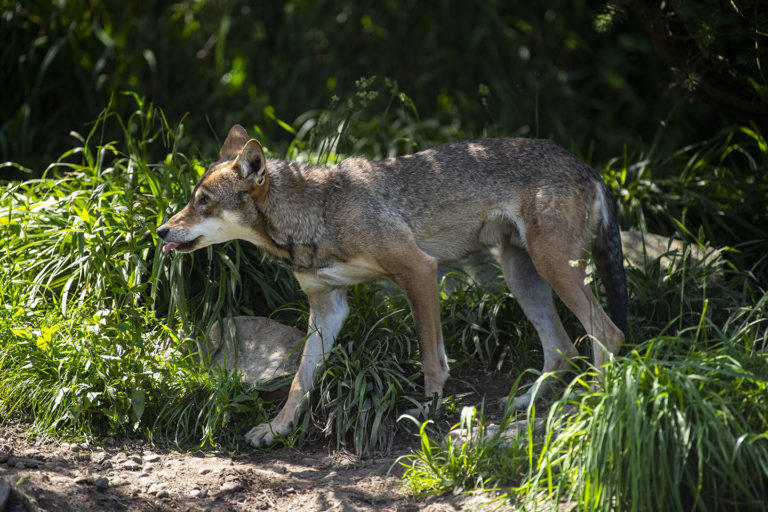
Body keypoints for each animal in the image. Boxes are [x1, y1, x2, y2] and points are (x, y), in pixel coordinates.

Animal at [157, 125, 627, 447]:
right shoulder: (327, 307)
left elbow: (431, 359)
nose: (161, 230)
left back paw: (590, 406)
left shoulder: (419, 270)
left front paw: (429, 411)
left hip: (553, 268)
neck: (313, 216)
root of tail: (588, 167)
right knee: (563, 349)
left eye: (202, 202)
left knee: (607, 333)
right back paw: (523, 405)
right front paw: (277, 429)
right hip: (522, 275)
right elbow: (299, 382)